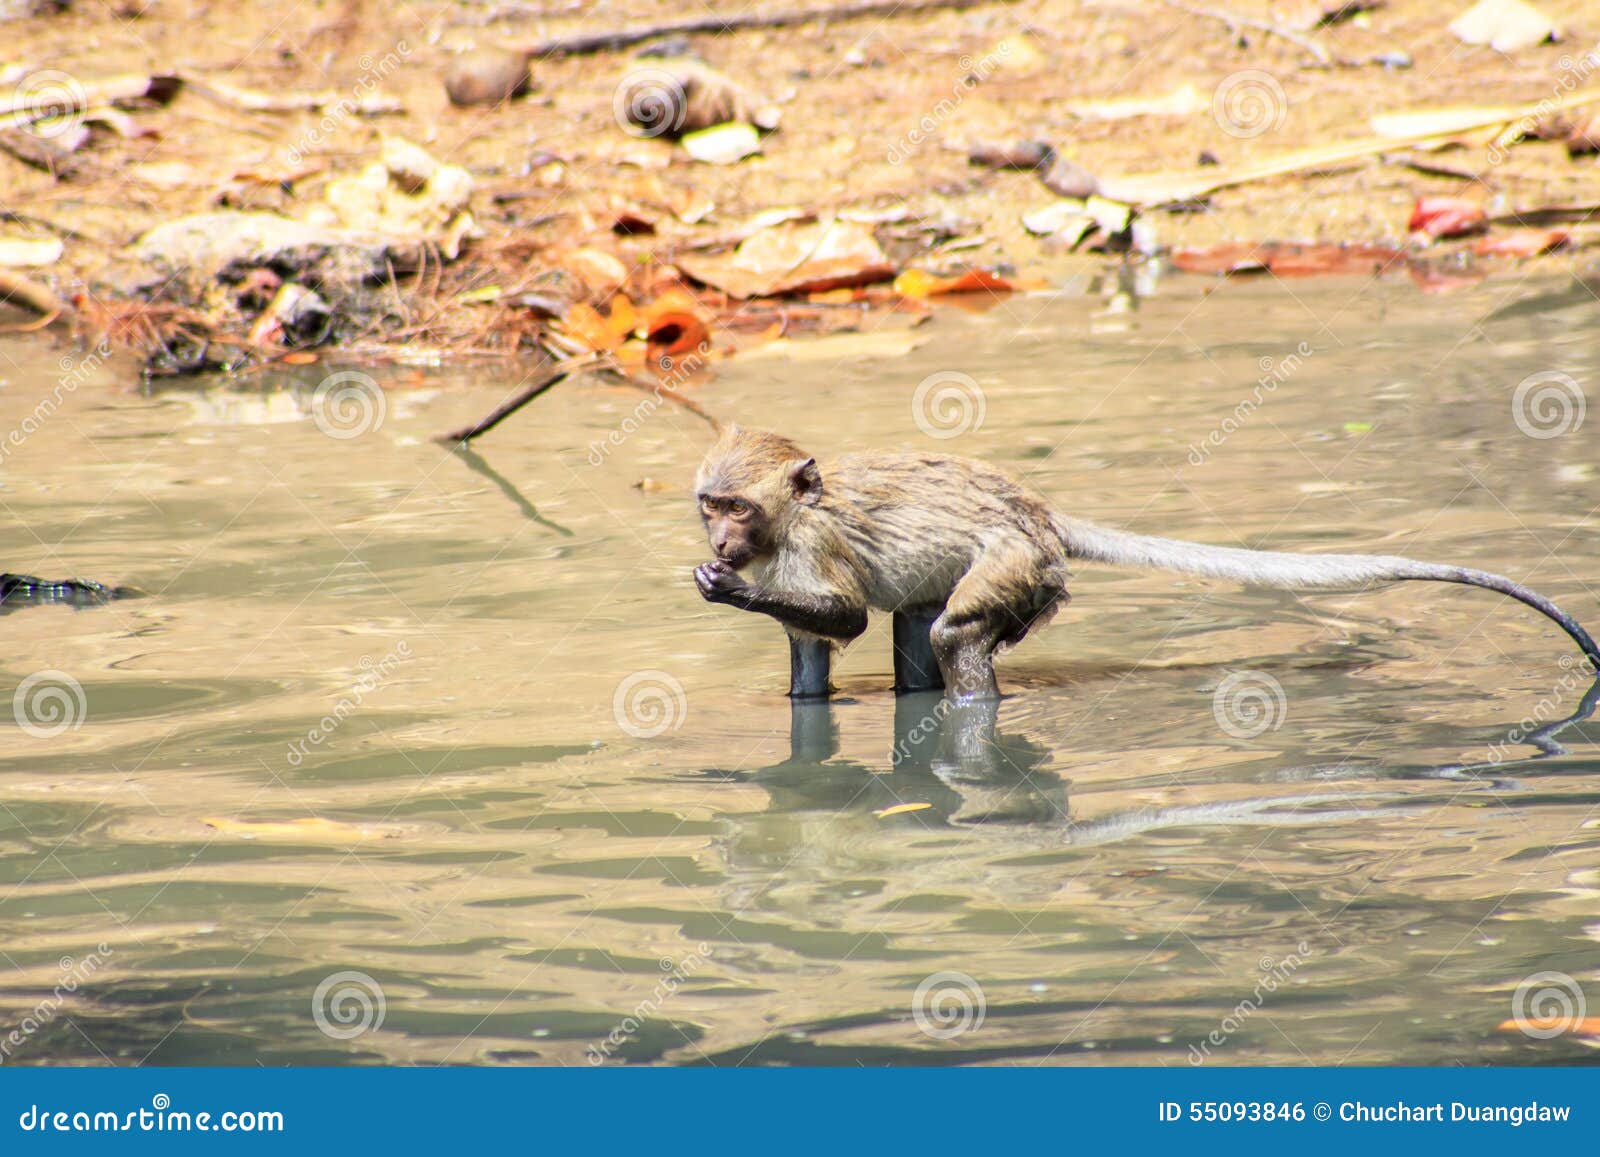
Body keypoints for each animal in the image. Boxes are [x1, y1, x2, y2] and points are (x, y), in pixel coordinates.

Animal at [692, 425, 1600, 701]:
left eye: (737, 507)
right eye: (710, 505)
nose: (718, 545)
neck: (787, 521)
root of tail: (1036, 510)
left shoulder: (811, 545)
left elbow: (843, 613)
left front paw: (729, 592)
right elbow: (812, 660)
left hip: (1018, 558)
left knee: (954, 633)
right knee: (924, 629)